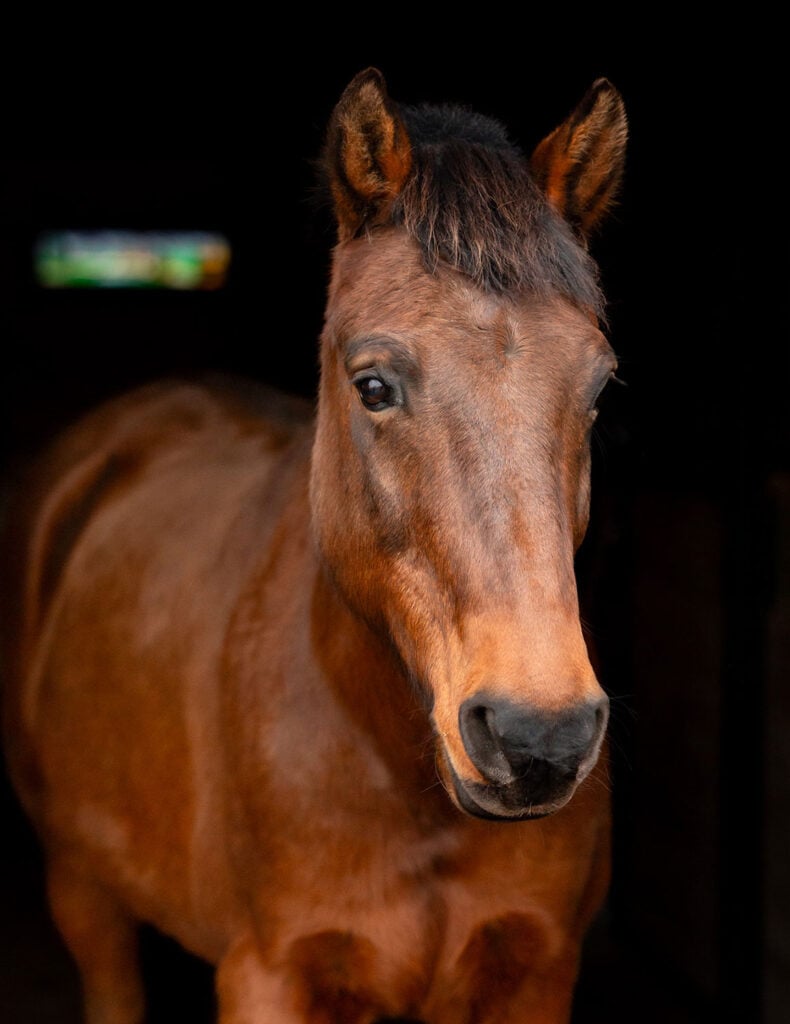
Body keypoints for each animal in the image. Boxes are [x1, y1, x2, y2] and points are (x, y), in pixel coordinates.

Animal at [1, 68, 627, 1023]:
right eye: (372, 385)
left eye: (596, 391)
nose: (538, 736)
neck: (409, 795)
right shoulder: (272, 977)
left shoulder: (540, 971)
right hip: (83, 896)